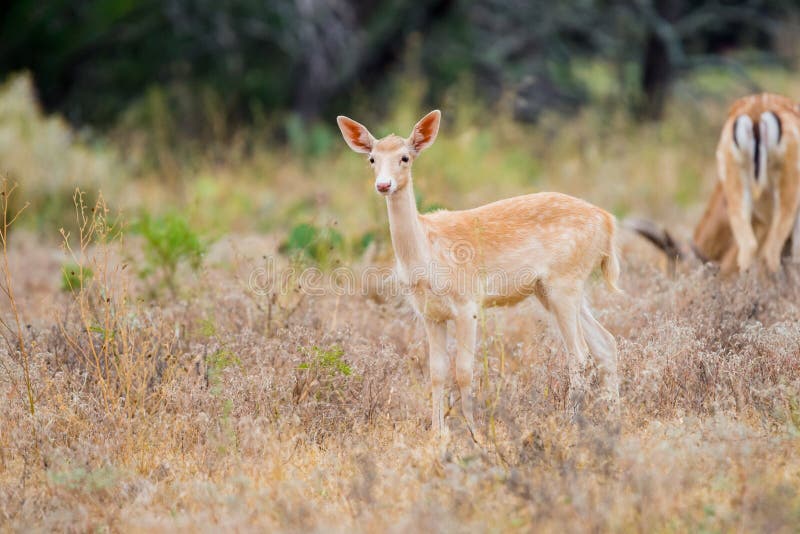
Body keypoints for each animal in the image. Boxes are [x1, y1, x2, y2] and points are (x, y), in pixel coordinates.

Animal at [337, 110, 621, 439]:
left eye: (405, 157)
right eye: (372, 158)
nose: (384, 185)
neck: (426, 254)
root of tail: (608, 222)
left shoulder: (467, 304)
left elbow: (464, 372)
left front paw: (475, 434)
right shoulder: (429, 313)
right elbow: (436, 372)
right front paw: (438, 434)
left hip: (565, 281)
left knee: (580, 353)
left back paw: (571, 422)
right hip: (552, 289)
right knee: (606, 343)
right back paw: (612, 417)